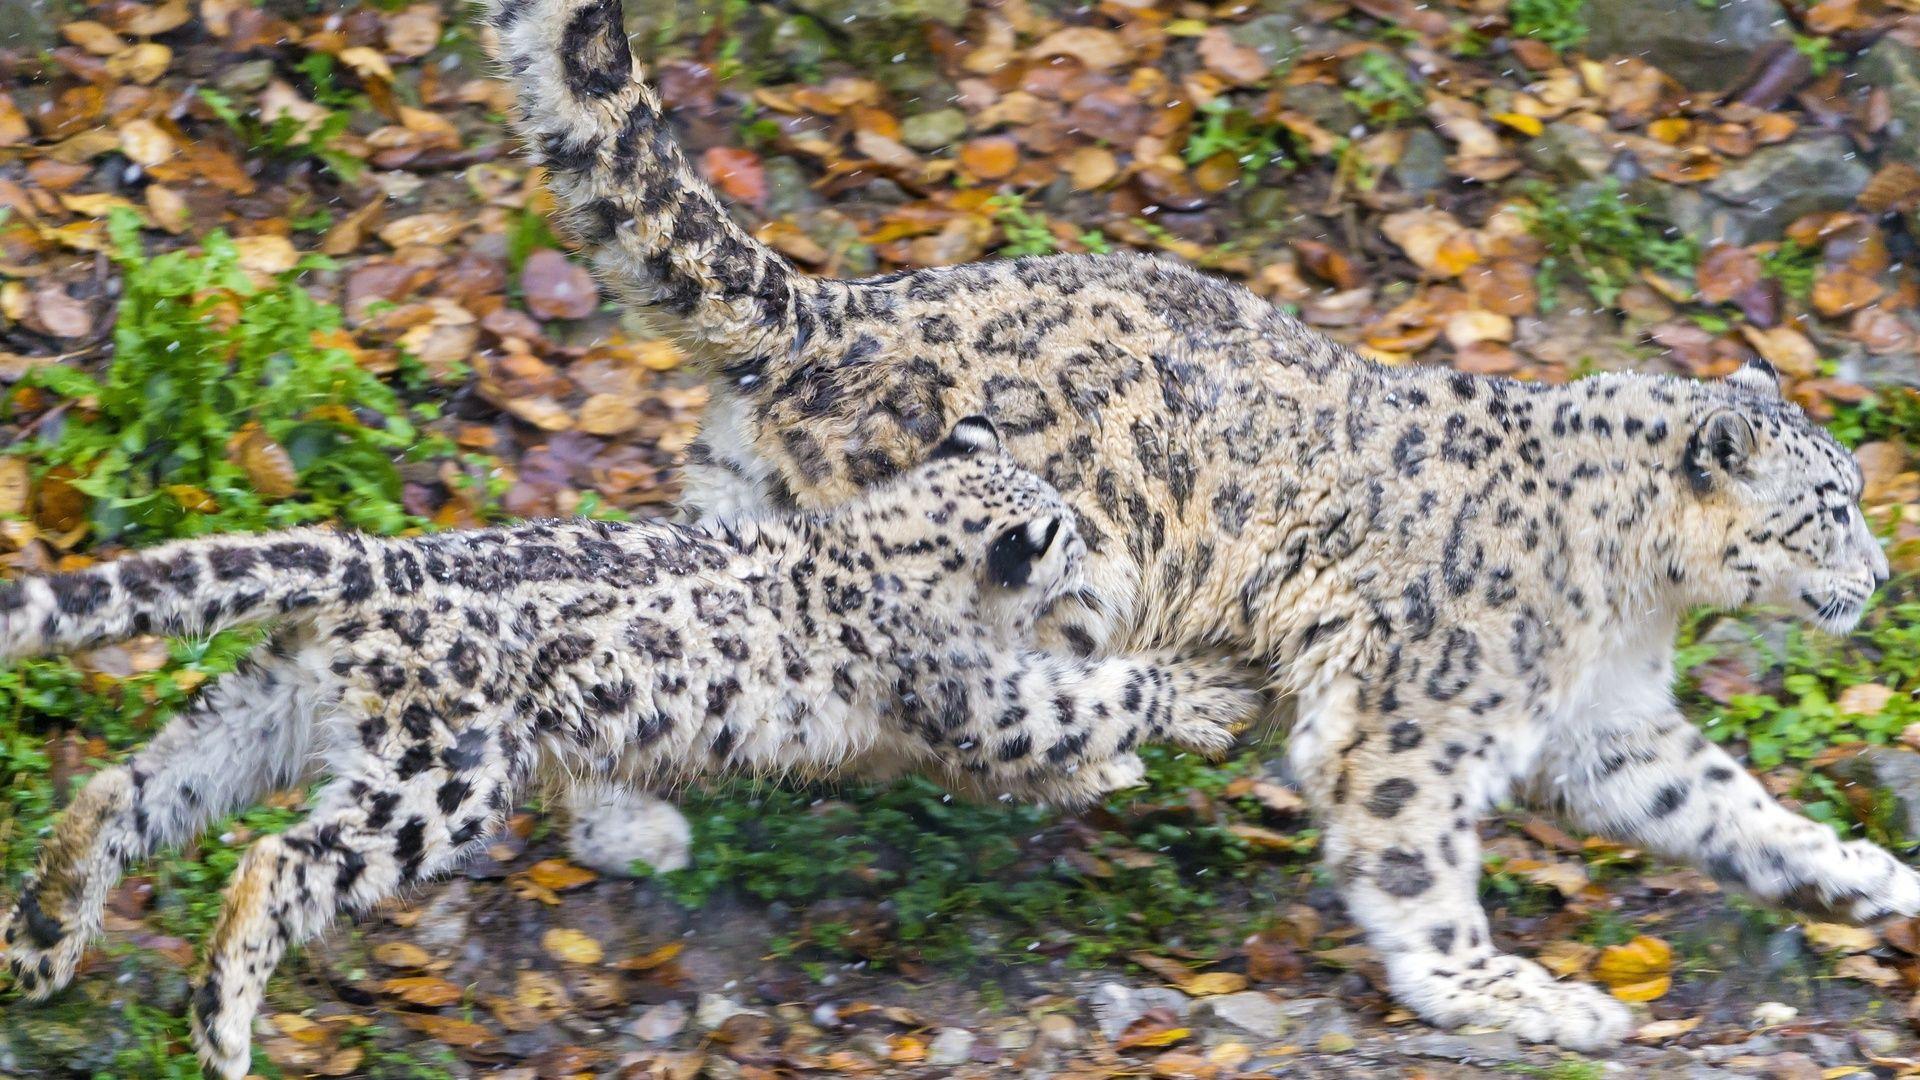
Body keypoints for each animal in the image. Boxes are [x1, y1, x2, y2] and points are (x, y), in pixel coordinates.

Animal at [0, 419, 1258, 1080]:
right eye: (1070, 542)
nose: (1102, 568)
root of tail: (372, 563)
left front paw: (1122, 762)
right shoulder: (979, 699)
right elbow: (1084, 702)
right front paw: (1201, 700)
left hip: (270, 710)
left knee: (127, 788)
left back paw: (43, 940)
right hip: (444, 775)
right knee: (277, 861)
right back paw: (220, 1021)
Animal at [482, 0, 1916, 1049]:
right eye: (1829, 507)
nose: (1882, 574)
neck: (1631, 601)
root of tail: (826, 315)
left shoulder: (1611, 720)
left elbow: (1726, 805)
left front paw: (1872, 877)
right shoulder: (1422, 715)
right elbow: (1417, 861)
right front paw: (1508, 995)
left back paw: (628, 824)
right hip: (1042, 572)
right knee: (954, 711)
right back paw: (1116, 746)